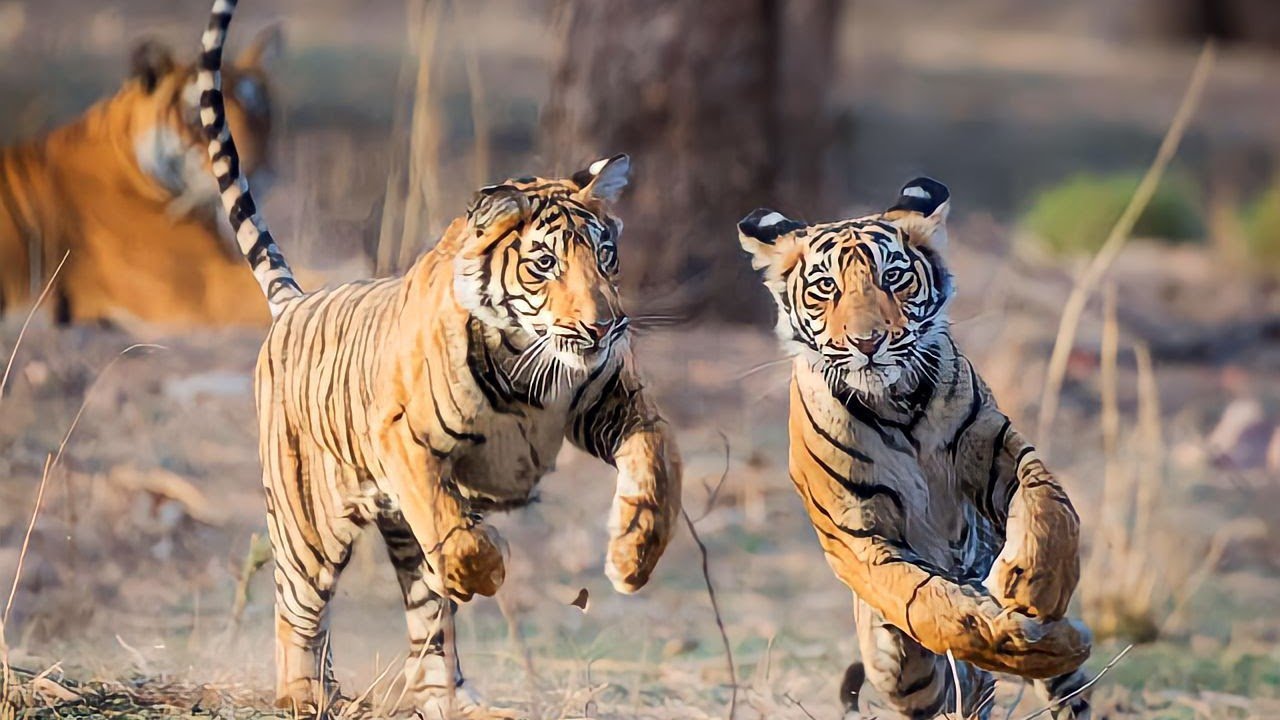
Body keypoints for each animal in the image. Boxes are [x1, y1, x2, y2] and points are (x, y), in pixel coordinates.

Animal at [197, 1, 683, 716]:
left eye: (606, 256)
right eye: (545, 264)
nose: (604, 327)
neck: (531, 365)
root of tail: (295, 301)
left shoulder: (616, 401)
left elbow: (657, 462)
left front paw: (634, 552)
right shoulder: (404, 437)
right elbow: (449, 521)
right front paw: (489, 562)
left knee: (425, 634)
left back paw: (455, 701)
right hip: (307, 520)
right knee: (299, 610)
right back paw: (306, 696)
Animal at [738, 179, 1094, 720]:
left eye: (893, 277)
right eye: (826, 287)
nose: (867, 343)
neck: (896, 407)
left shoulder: (996, 449)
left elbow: (1049, 504)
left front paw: (1036, 584)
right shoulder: (857, 535)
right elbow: (922, 599)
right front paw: (995, 634)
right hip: (897, 670)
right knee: (925, 677)